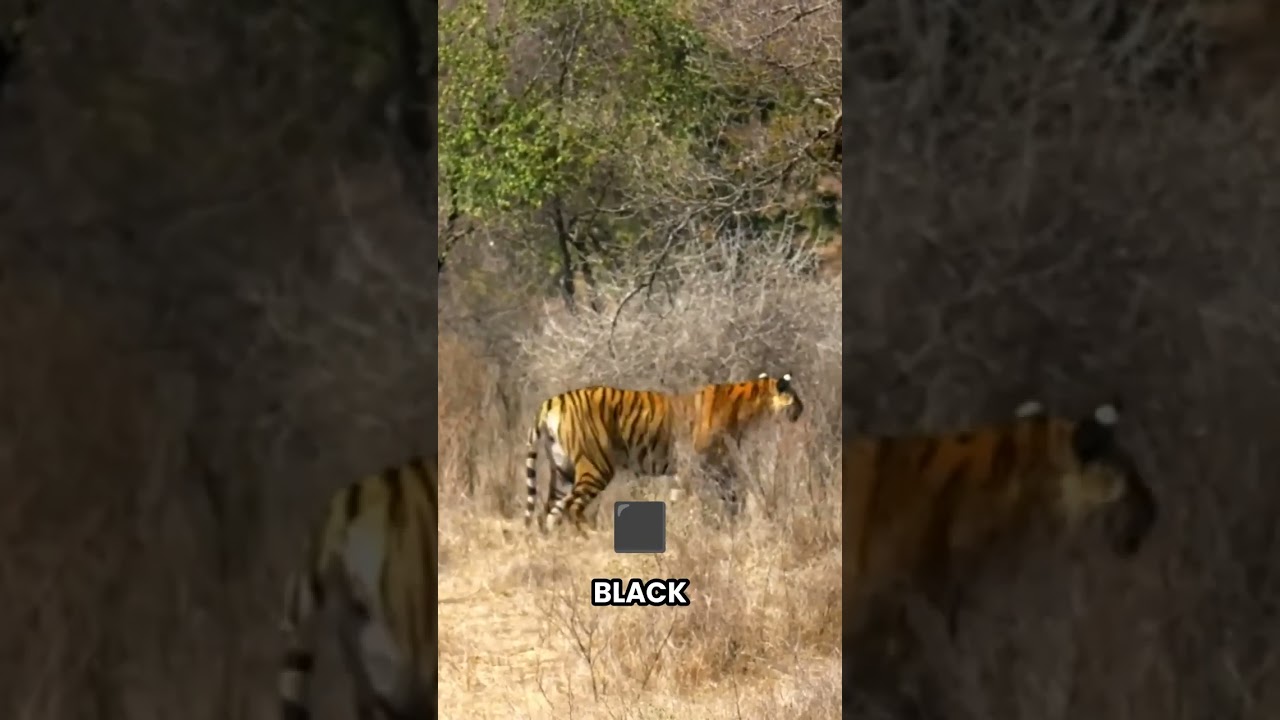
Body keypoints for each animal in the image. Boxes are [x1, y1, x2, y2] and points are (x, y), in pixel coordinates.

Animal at [522, 372, 804, 532]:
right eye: (796, 398)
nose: (802, 409)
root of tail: (552, 401)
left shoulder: (717, 466)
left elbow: (731, 497)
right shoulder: (701, 465)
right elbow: (694, 499)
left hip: (563, 470)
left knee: (548, 512)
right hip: (596, 466)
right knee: (572, 507)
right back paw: (589, 538)